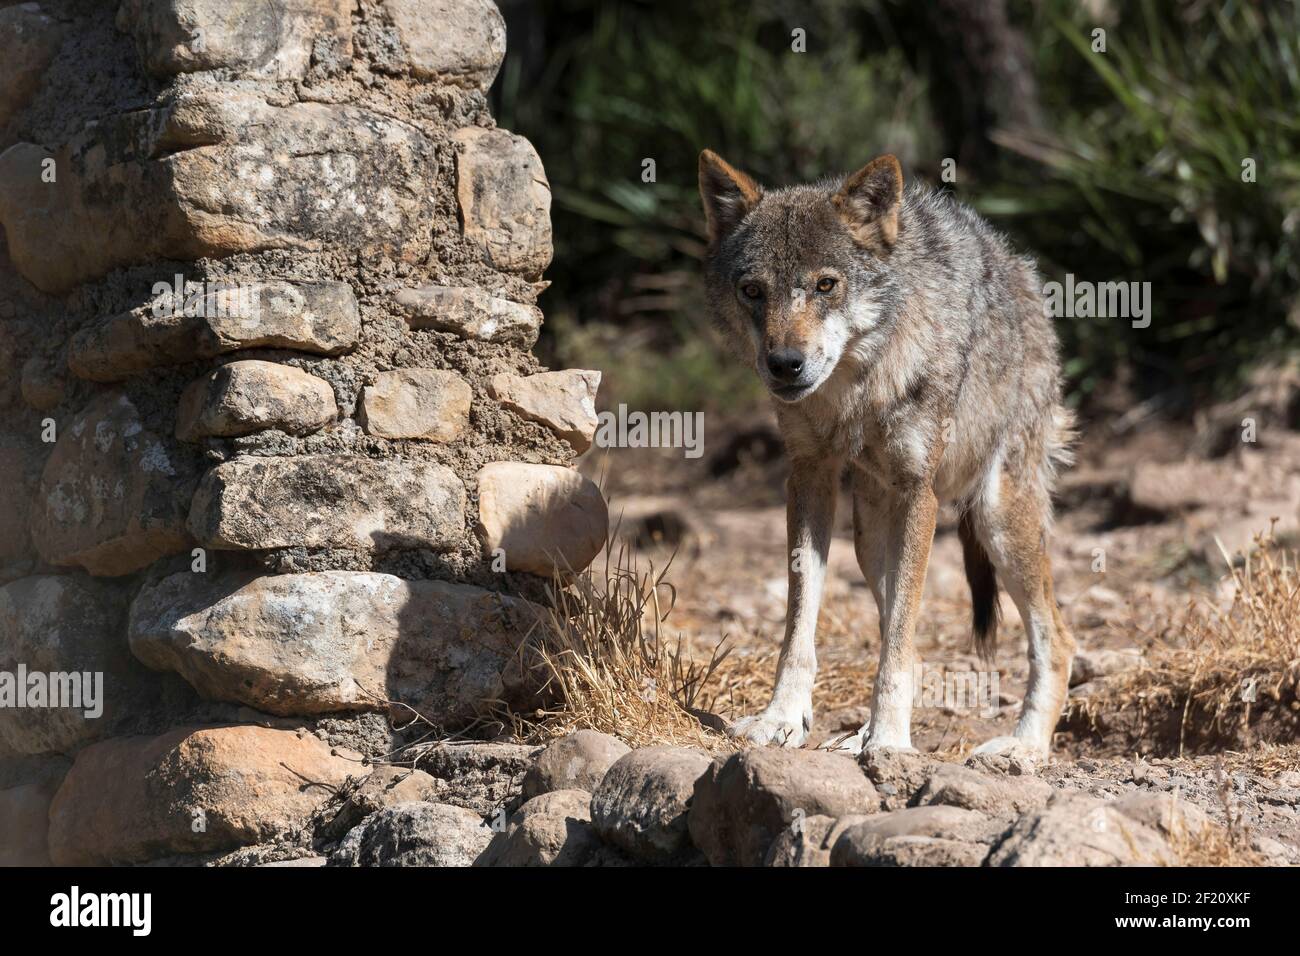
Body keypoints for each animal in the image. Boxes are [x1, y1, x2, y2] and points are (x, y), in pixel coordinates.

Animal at [698, 150, 1075, 756]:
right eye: (753, 290)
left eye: (826, 285)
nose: (785, 365)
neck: (858, 387)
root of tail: (1023, 273)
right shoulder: (809, 476)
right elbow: (801, 623)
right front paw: (782, 718)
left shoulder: (919, 491)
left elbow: (898, 640)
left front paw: (892, 742)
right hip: (871, 536)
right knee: (905, 631)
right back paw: (860, 738)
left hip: (995, 518)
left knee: (1056, 641)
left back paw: (1023, 749)